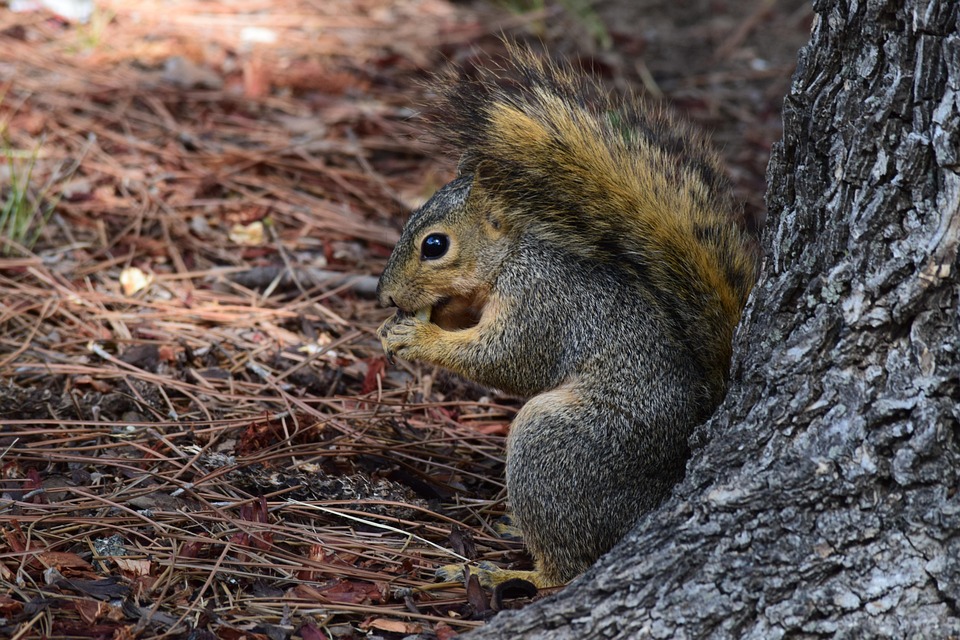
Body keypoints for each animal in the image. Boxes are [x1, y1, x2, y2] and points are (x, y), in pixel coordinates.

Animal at [376, 45, 759, 589]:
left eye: (434, 245)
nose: (386, 296)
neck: (514, 255)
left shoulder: (544, 301)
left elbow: (509, 360)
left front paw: (416, 336)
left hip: (557, 449)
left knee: (564, 568)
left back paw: (502, 574)